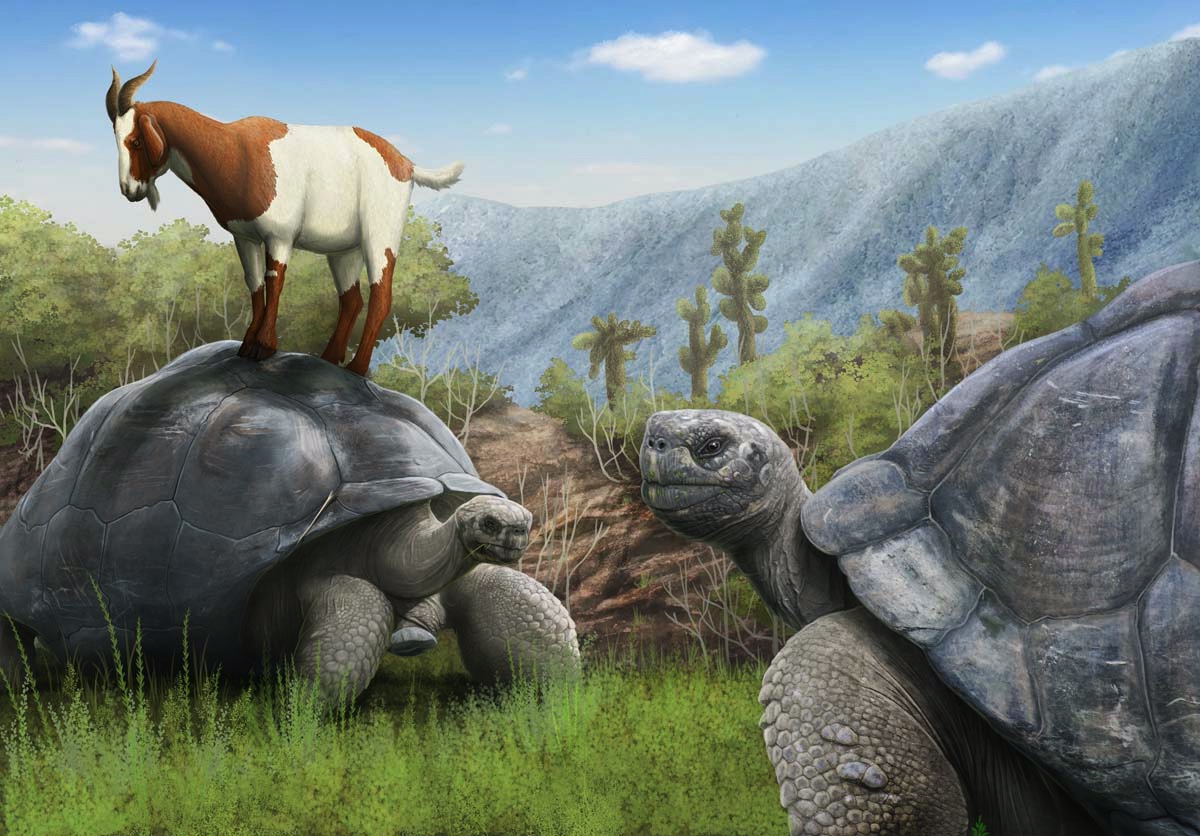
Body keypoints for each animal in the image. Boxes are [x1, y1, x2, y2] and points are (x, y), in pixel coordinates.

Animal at [106, 61, 464, 375]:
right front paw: (246, 344)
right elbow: (253, 283)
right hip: (344, 250)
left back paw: (358, 368)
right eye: (116, 139)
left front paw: (264, 346)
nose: (129, 190)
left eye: (135, 140)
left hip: (380, 236)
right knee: (351, 299)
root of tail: (404, 163)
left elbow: (274, 281)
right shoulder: (244, 237)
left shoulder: (279, 237)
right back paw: (329, 358)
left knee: (381, 297)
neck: (237, 151)